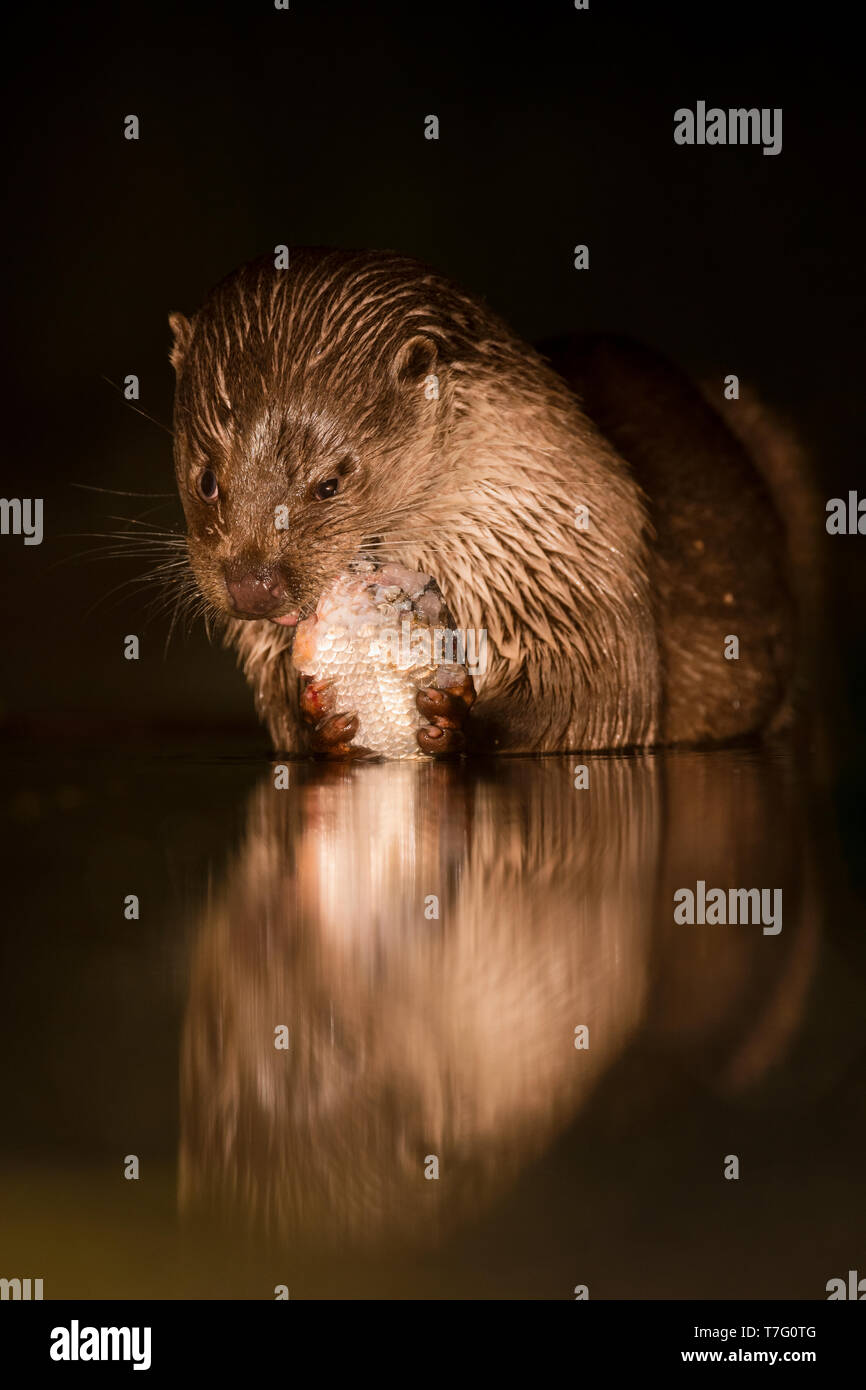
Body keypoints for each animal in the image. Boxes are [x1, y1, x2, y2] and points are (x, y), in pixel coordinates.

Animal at [168, 249, 809, 755]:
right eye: (207, 480)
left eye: (329, 483)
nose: (253, 585)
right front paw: (320, 725)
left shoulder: (584, 573)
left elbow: (596, 700)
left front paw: (460, 723)